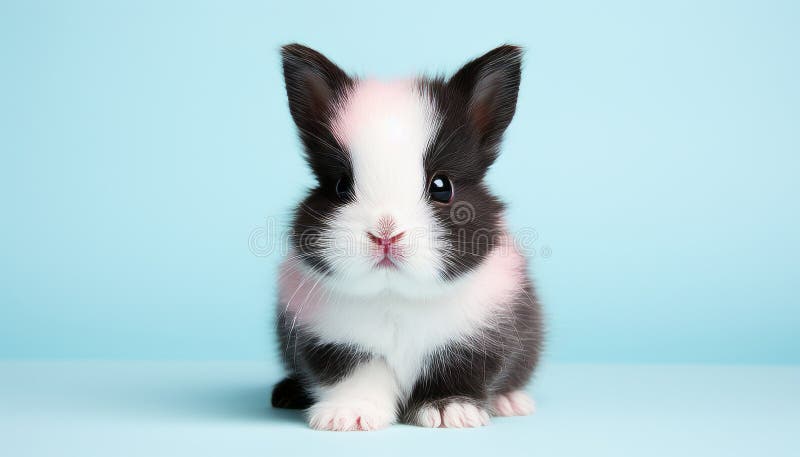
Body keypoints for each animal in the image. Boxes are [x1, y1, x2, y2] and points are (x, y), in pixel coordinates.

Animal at [271, 43, 544, 431]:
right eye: (341, 186)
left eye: (442, 187)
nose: (386, 234)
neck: (394, 295)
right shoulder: (335, 346)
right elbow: (356, 378)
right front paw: (349, 416)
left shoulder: (479, 340)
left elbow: (459, 374)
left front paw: (448, 412)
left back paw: (511, 402)